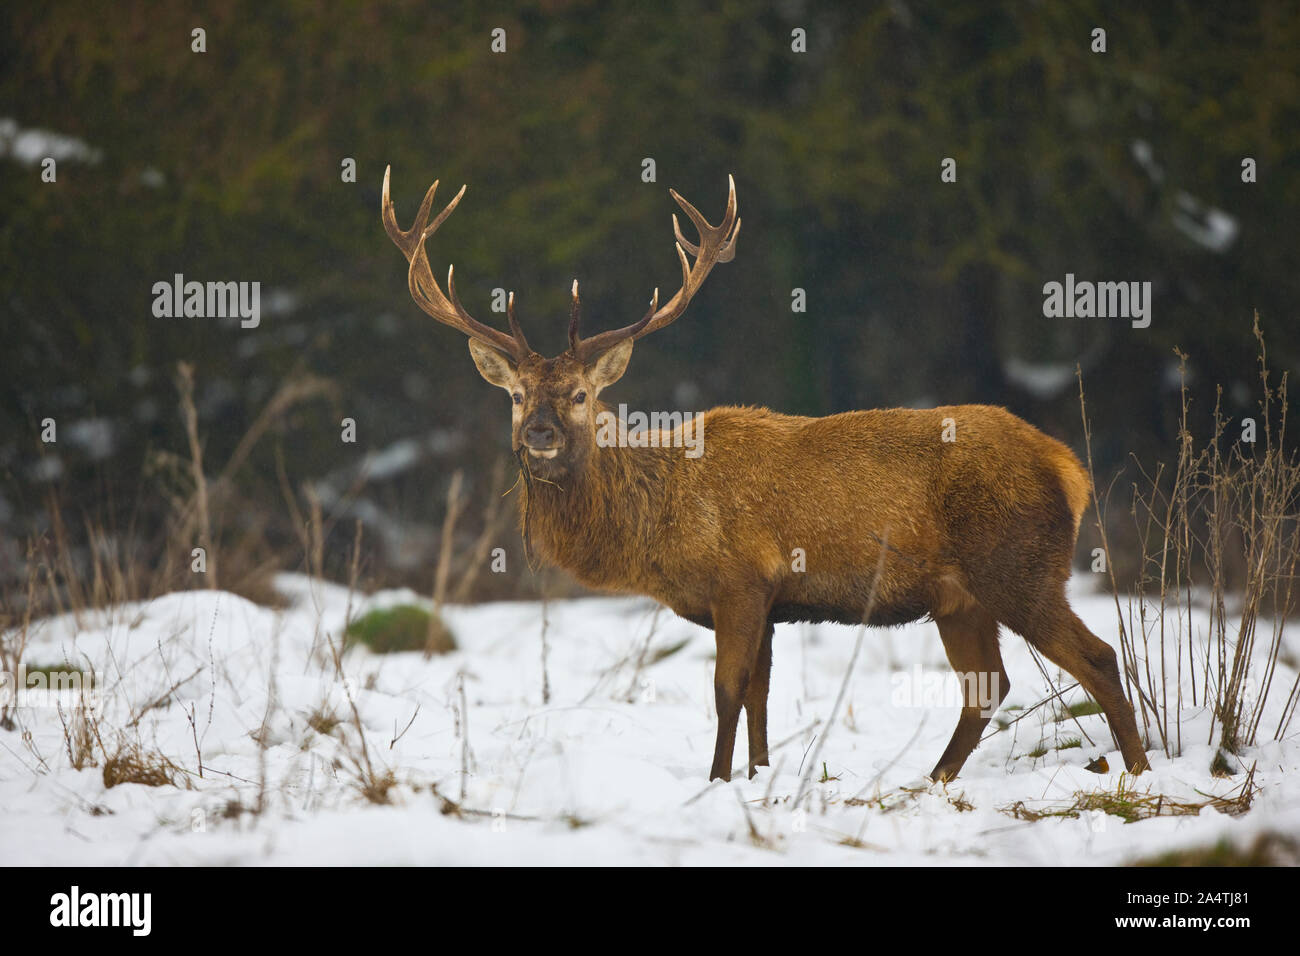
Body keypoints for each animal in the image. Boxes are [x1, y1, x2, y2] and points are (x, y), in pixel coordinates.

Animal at [381, 166, 1152, 784]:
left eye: (578, 394)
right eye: (515, 395)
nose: (538, 434)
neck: (658, 525)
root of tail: (1069, 468)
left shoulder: (741, 579)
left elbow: (727, 692)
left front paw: (717, 782)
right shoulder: (776, 604)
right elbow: (759, 695)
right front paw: (757, 776)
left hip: (1017, 565)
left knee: (1097, 657)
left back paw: (1140, 773)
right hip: (960, 597)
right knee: (986, 689)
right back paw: (930, 781)